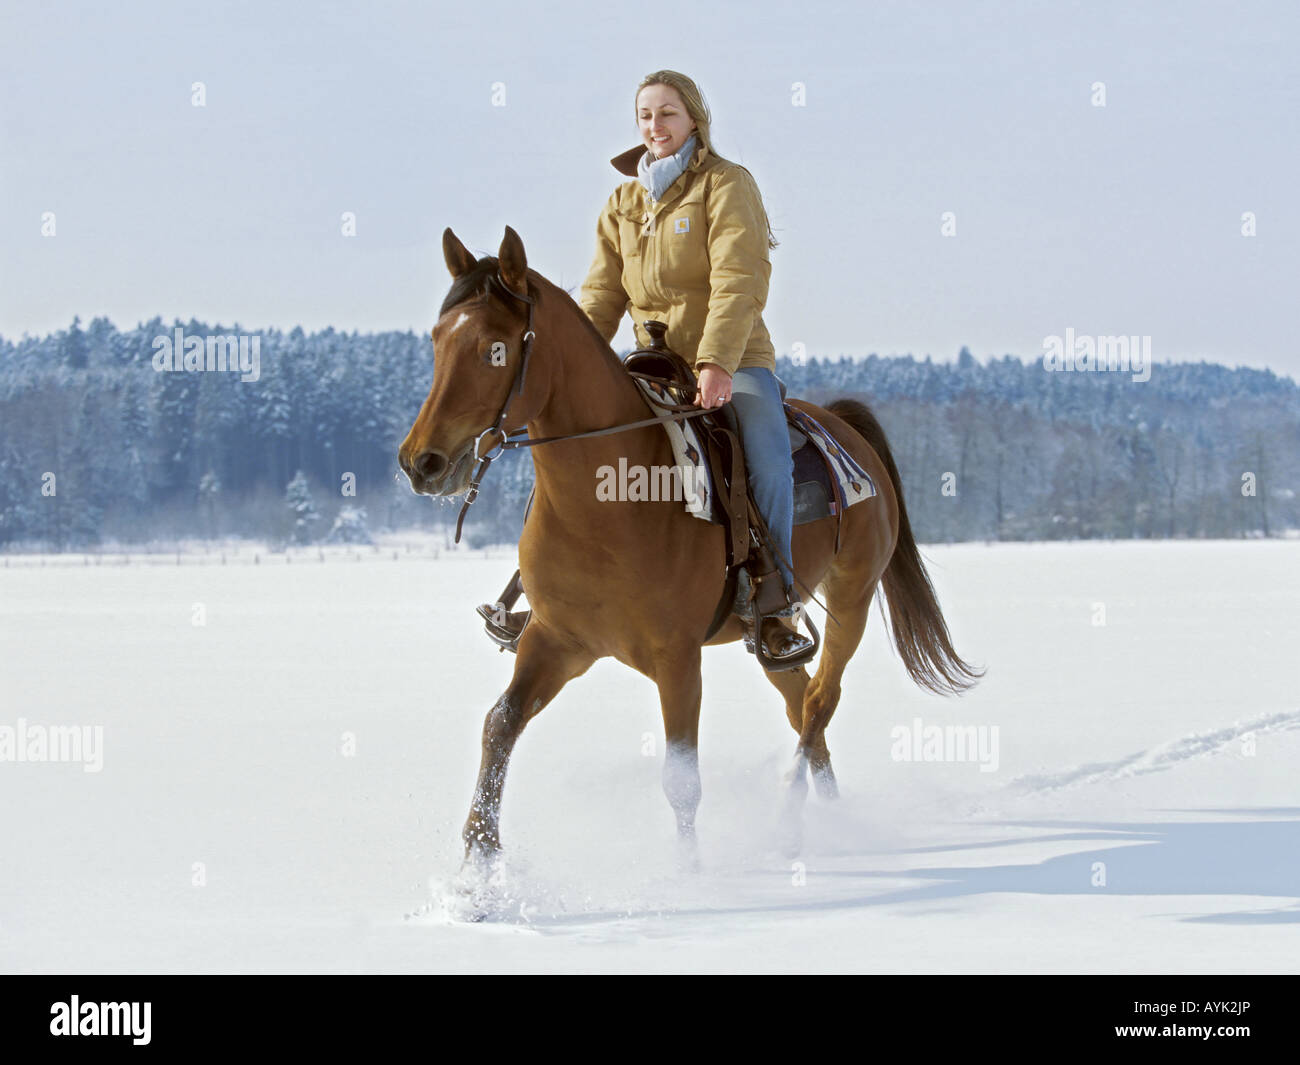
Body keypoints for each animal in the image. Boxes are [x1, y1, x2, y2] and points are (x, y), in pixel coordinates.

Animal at [399, 225, 982, 870]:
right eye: (437, 341)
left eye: (494, 349)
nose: (421, 462)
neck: (606, 502)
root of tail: (847, 431)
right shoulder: (556, 641)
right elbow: (499, 725)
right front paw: (478, 865)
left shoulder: (677, 658)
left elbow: (681, 778)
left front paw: (688, 876)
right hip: (768, 637)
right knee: (800, 700)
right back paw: (827, 821)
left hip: (852, 597)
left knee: (819, 702)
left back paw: (790, 816)